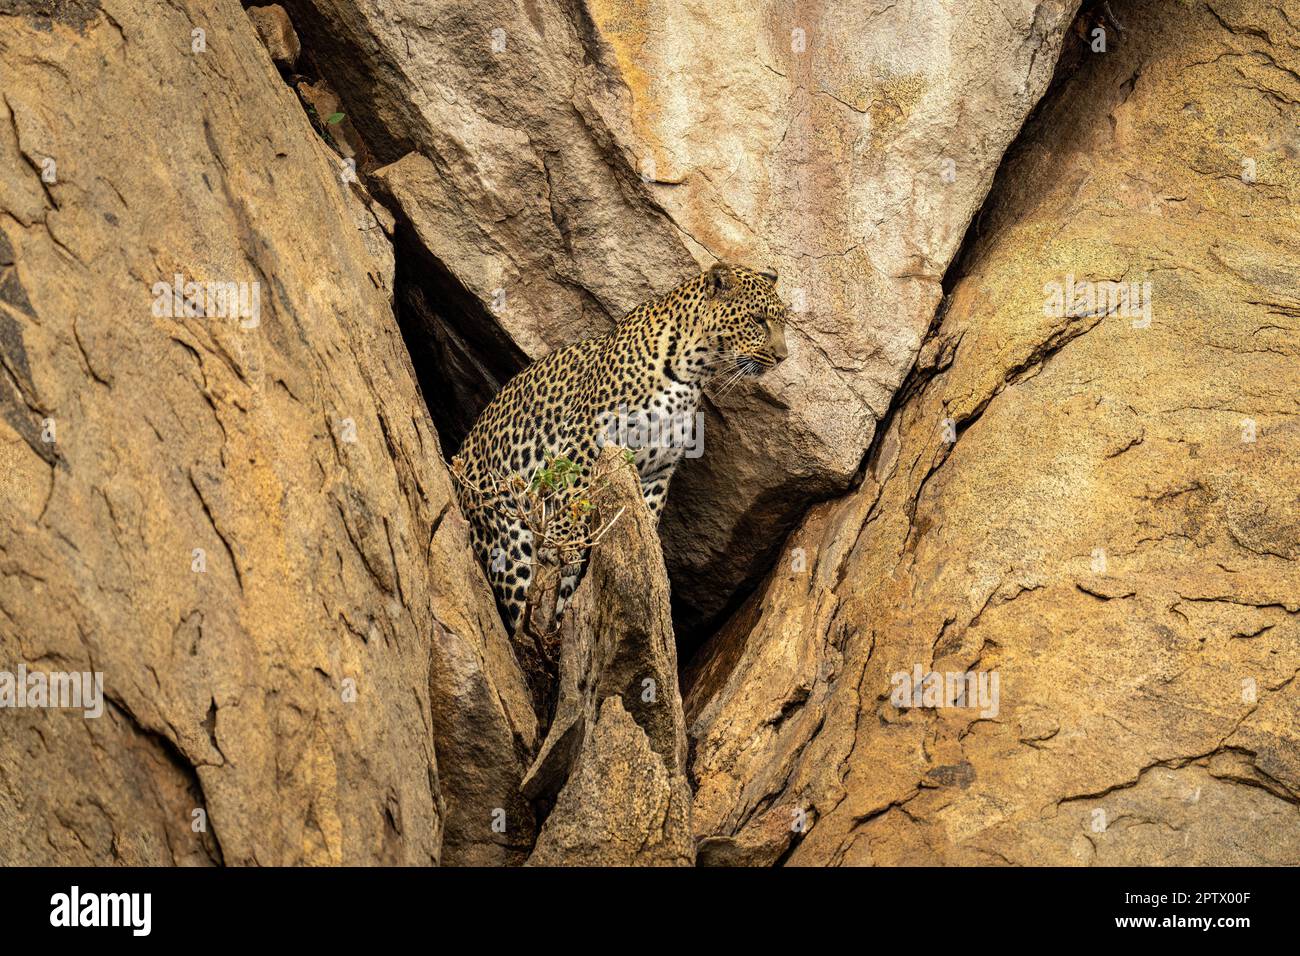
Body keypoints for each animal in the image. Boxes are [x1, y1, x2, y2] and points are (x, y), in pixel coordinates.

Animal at [452, 262, 790, 634]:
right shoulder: (588, 435)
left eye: (782, 322)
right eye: (758, 319)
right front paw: (563, 543)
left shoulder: (657, 468)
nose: (782, 357)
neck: (692, 371)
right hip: (507, 534)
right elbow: (573, 492)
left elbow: (646, 514)